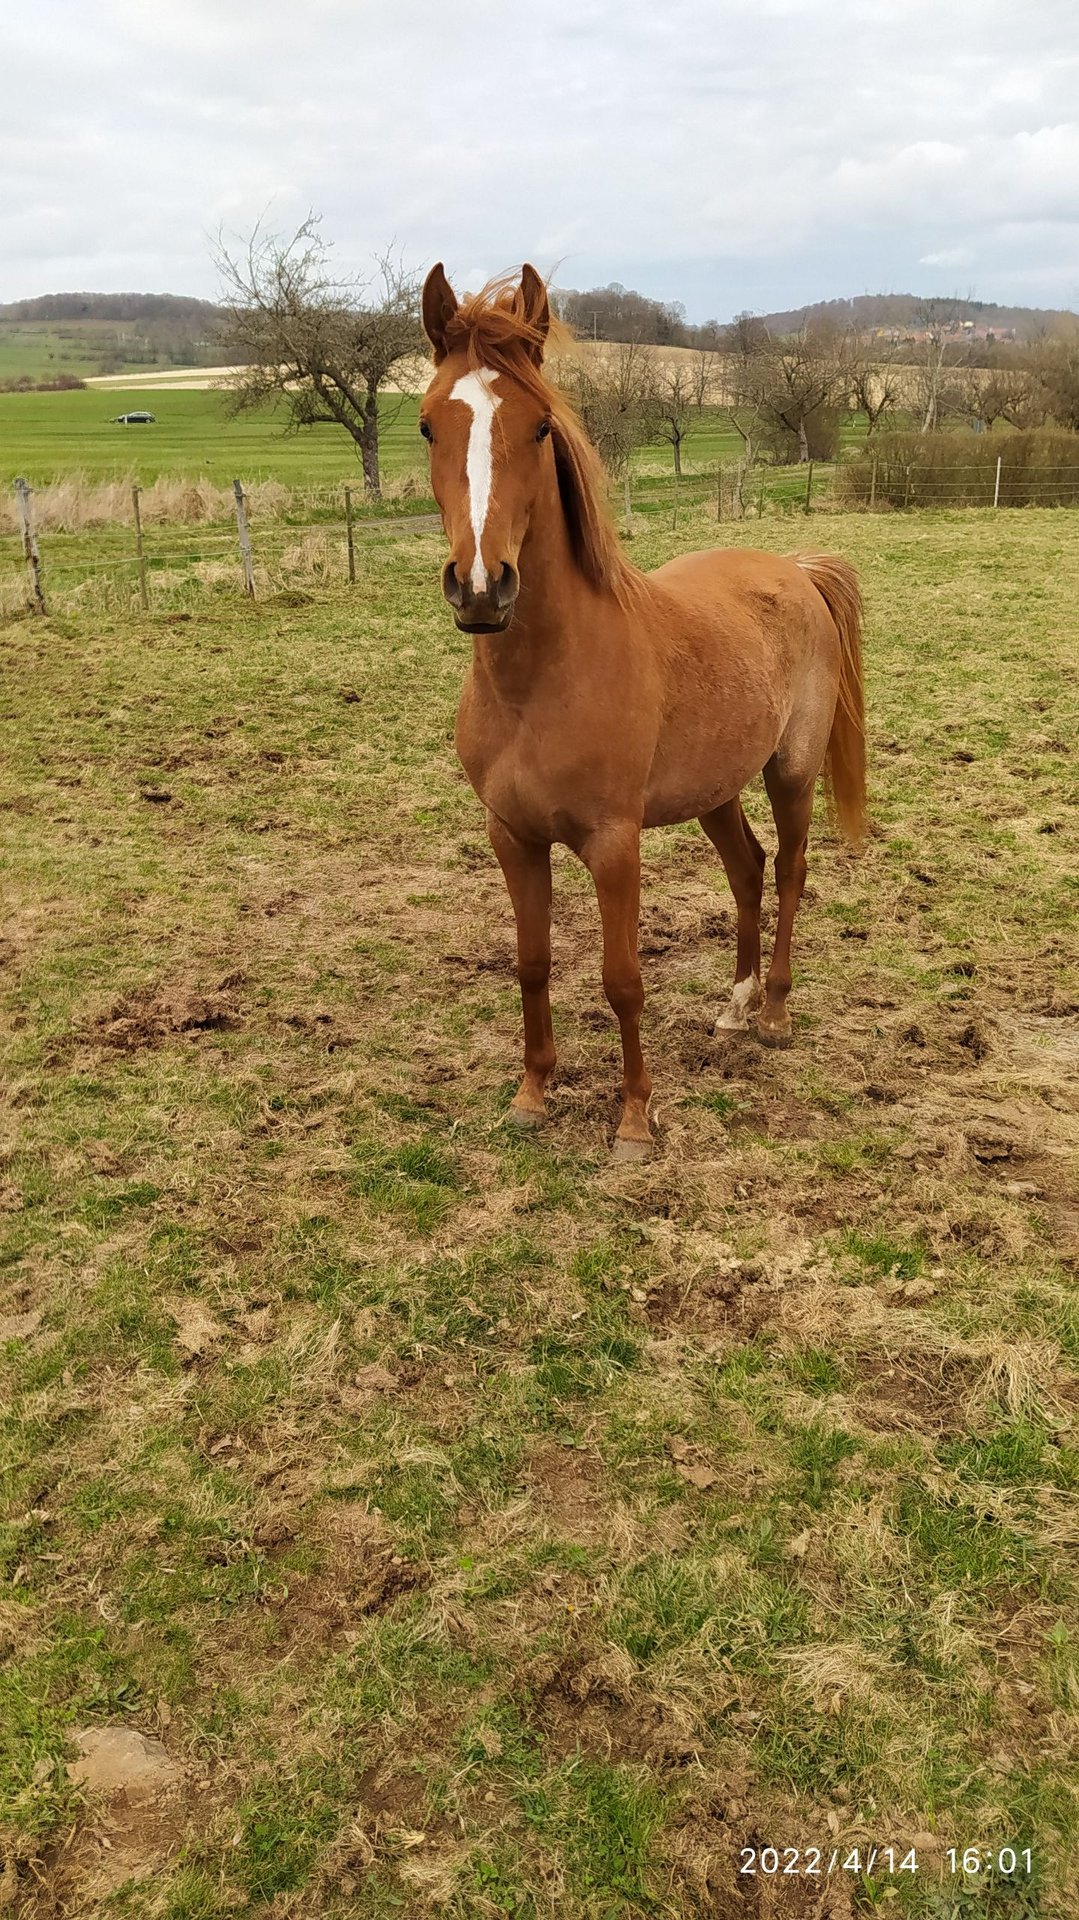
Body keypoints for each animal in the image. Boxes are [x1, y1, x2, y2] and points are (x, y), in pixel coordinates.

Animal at [419, 262, 866, 1160]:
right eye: (425, 426)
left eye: (539, 428)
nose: (481, 588)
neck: (539, 684)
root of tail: (795, 569)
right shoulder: (511, 837)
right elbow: (531, 964)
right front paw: (531, 1095)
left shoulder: (613, 843)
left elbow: (622, 978)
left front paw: (633, 1119)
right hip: (715, 790)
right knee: (748, 869)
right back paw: (734, 1006)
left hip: (790, 771)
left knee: (791, 870)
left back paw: (773, 1013)